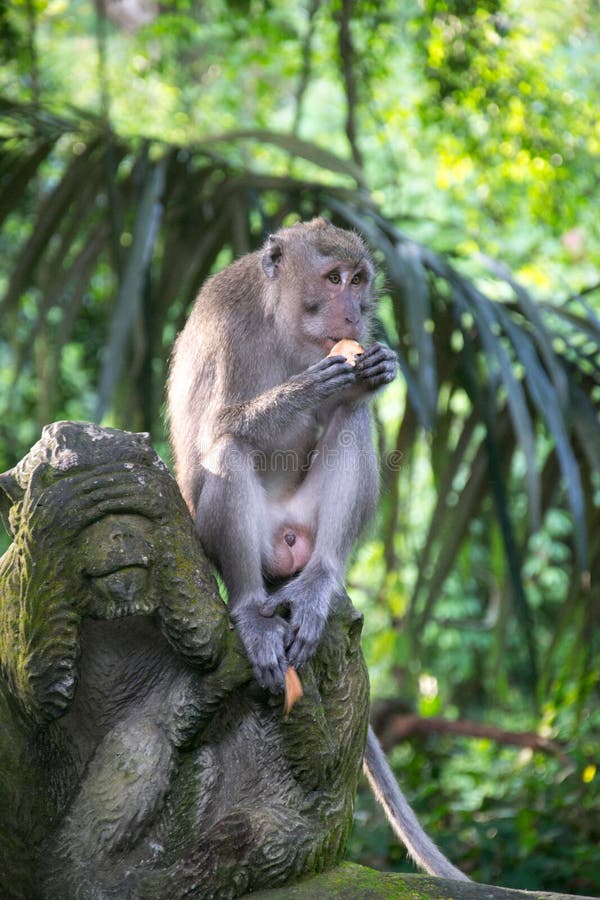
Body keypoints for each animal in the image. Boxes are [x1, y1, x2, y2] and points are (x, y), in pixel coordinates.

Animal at [167, 217, 469, 881]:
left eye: (359, 280)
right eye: (333, 279)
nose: (354, 311)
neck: (284, 323)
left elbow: (356, 399)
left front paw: (374, 367)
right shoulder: (223, 327)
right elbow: (214, 425)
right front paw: (307, 387)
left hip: (304, 532)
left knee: (353, 416)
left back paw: (320, 582)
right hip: (240, 542)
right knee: (228, 447)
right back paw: (251, 609)